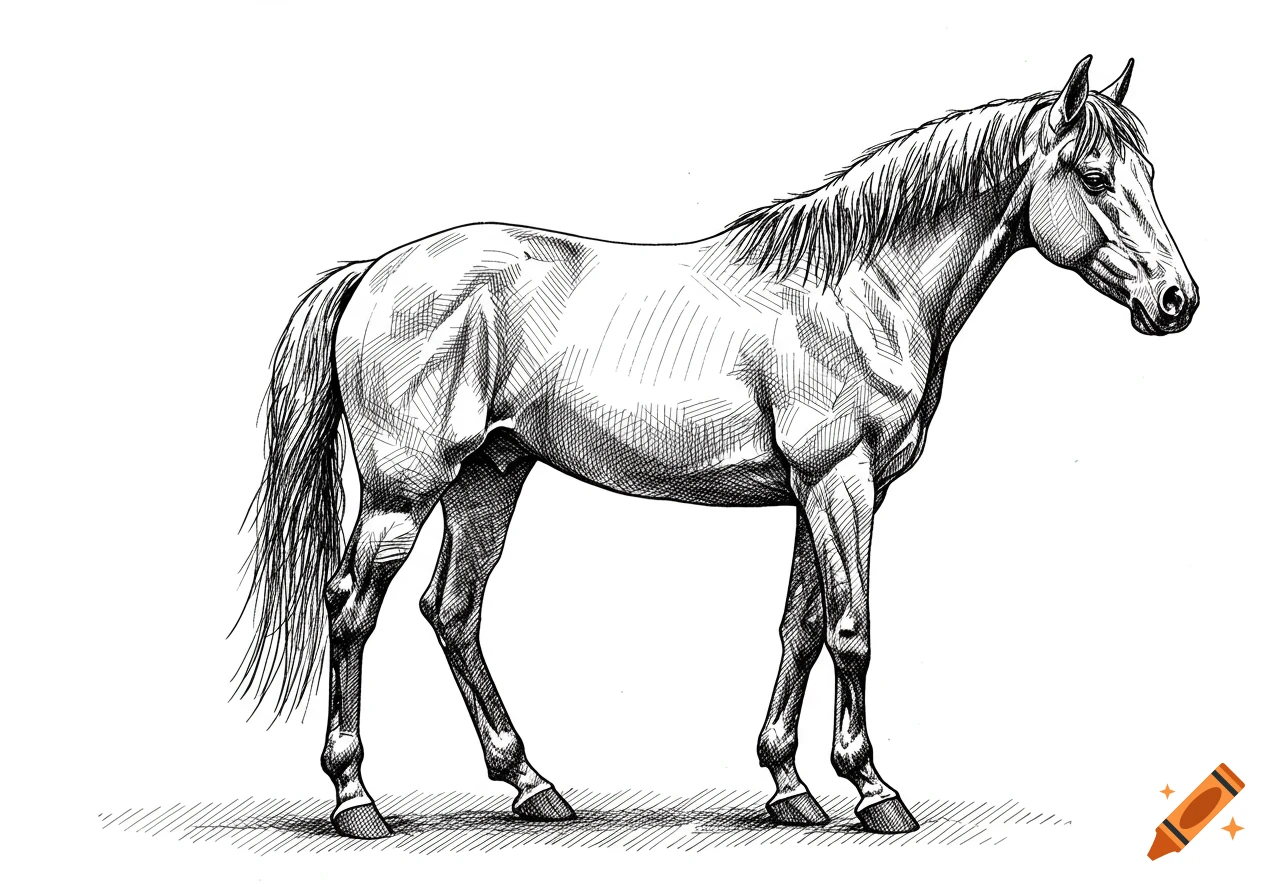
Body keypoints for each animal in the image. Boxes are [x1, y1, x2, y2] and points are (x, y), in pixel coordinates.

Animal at [238, 56, 1197, 839]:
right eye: (1094, 174)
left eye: (1149, 172)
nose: (1177, 299)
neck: (859, 289)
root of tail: (373, 272)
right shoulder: (840, 482)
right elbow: (852, 629)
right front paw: (875, 791)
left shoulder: (825, 490)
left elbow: (801, 627)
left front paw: (789, 785)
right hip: (402, 494)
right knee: (350, 609)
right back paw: (357, 802)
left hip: (489, 479)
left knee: (454, 611)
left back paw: (532, 784)